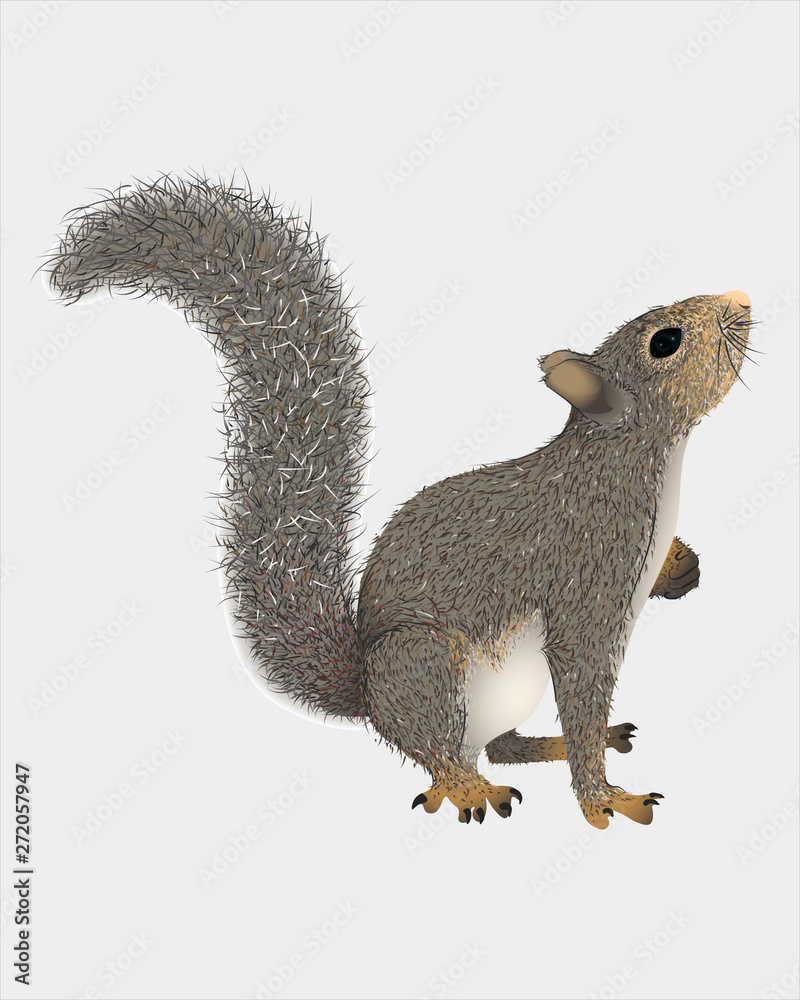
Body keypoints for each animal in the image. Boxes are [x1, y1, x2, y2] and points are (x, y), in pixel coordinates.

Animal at [41, 171, 754, 828]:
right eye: (666, 341)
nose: (740, 297)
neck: (640, 465)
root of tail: (368, 690)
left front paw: (680, 566)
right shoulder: (586, 578)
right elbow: (581, 679)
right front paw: (604, 797)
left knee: (504, 747)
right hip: (426, 665)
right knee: (443, 750)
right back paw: (467, 787)